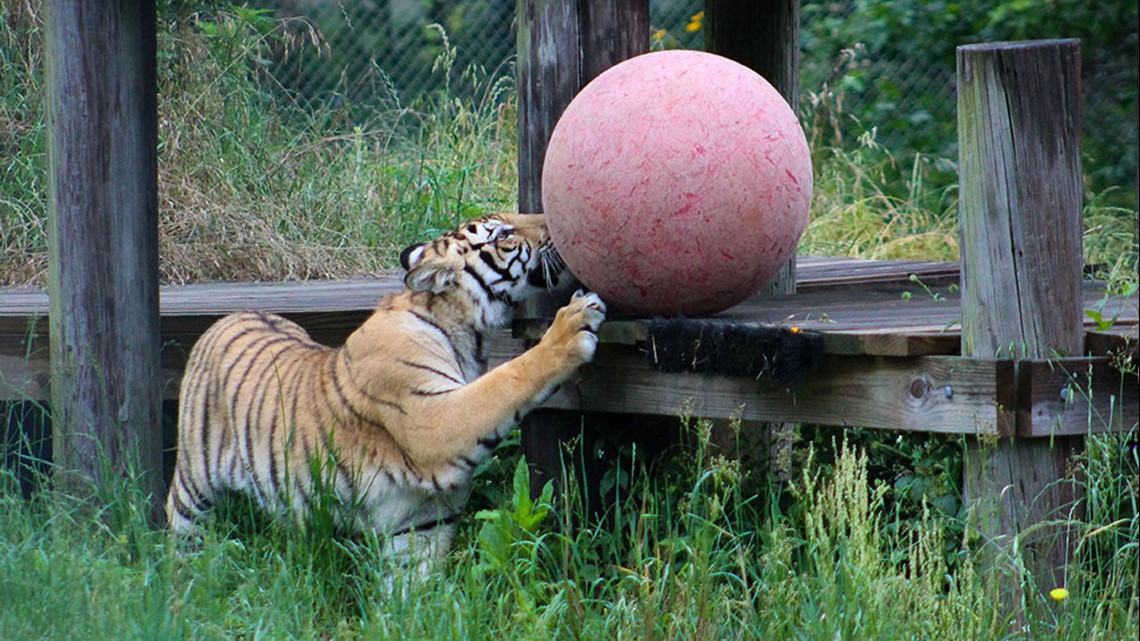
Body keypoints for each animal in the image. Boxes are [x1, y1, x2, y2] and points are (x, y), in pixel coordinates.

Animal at [165, 213, 606, 567]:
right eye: (504, 234)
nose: (551, 225)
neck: (467, 332)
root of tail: (229, 316)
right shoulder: (435, 421)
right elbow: (511, 377)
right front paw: (572, 323)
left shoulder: (421, 519)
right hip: (194, 487)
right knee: (181, 525)